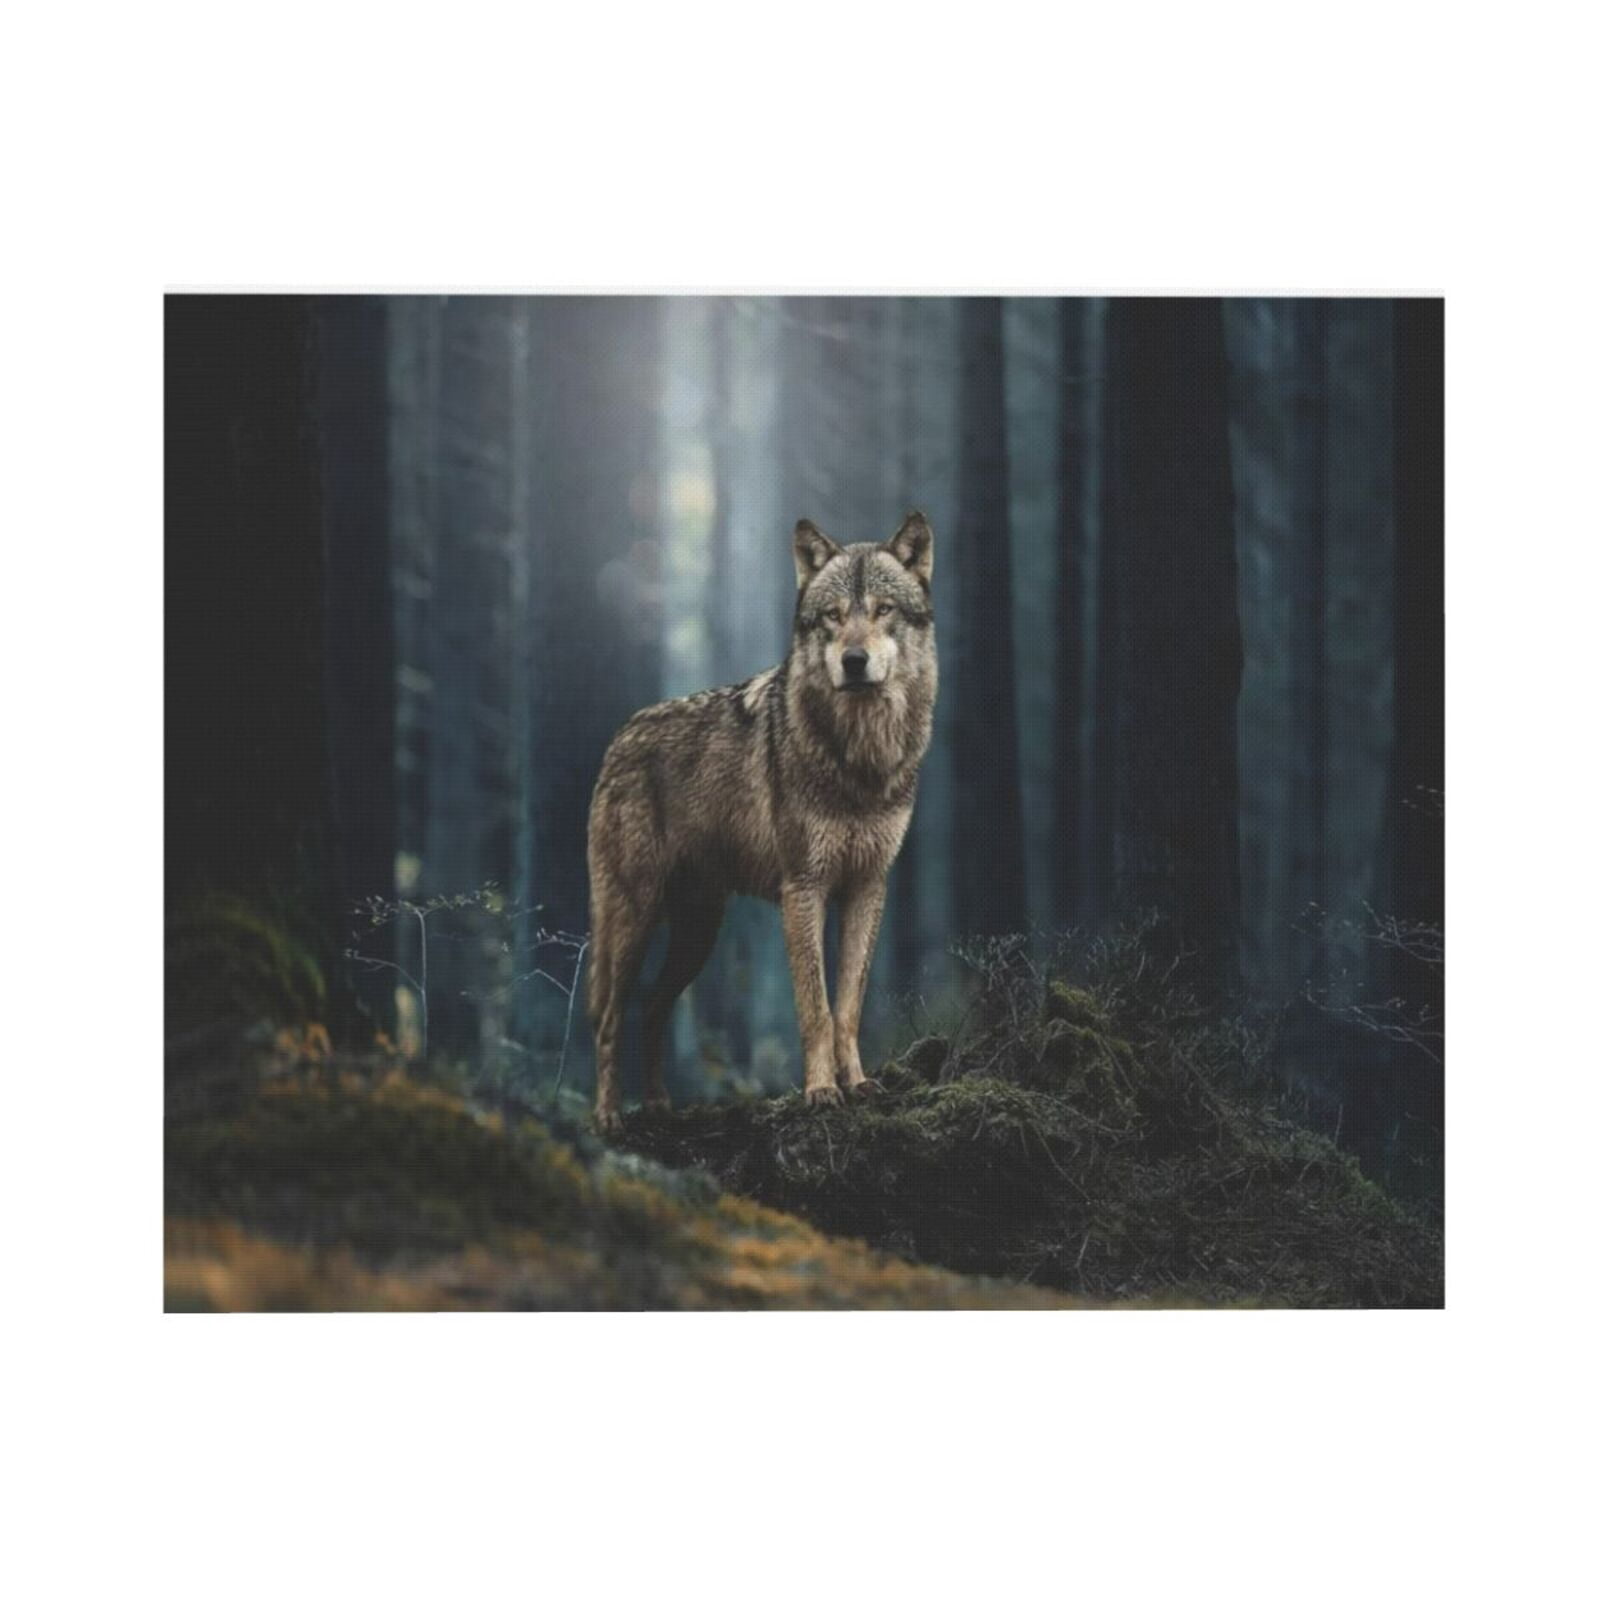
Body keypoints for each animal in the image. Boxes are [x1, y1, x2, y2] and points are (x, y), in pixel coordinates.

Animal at [585, 512, 937, 1132]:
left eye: (883, 610)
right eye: (832, 616)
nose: (853, 662)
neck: (859, 760)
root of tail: (620, 737)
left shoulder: (867, 888)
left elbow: (847, 1006)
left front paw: (858, 1084)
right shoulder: (803, 890)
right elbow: (815, 1009)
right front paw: (821, 1091)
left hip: (698, 933)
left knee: (652, 1008)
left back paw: (658, 1105)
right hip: (635, 917)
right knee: (610, 1015)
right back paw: (609, 1117)